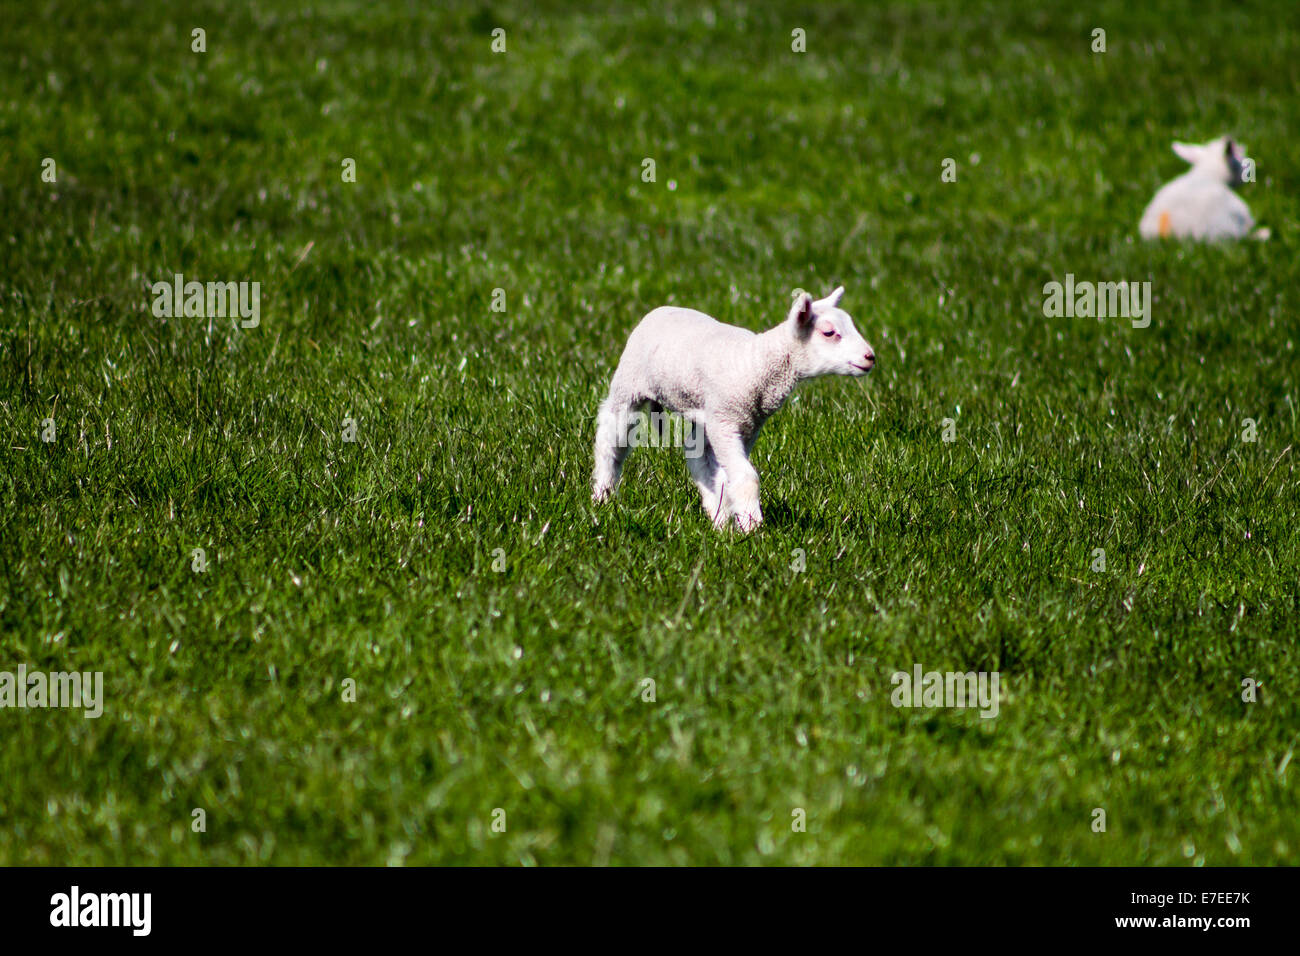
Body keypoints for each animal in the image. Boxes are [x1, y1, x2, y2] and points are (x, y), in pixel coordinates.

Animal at [591, 286, 875, 532]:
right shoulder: (726, 421)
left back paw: (717, 519)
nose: (870, 357)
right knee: (611, 439)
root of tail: (661, 309)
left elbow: (728, 475)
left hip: (705, 410)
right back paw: (602, 497)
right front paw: (753, 528)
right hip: (629, 384)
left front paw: (735, 520)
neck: (757, 362)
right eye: (829, 333)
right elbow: (746, 477)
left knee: (698, 456)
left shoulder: (747, 424)